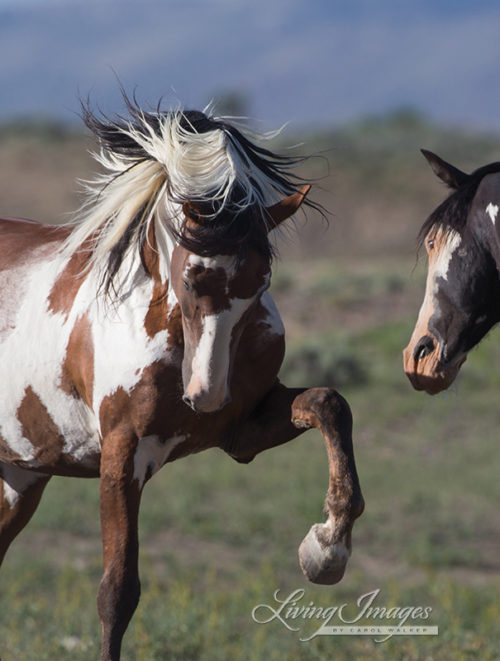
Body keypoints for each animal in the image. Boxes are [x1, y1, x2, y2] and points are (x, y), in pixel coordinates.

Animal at [0, 101, 364, 660]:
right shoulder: (122, 455)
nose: (206, 394)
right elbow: (117, 591)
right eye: (192, 276)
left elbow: (330, 404)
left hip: (19, 477)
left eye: (263, 278)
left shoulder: (242, 434)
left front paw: (325, 550)